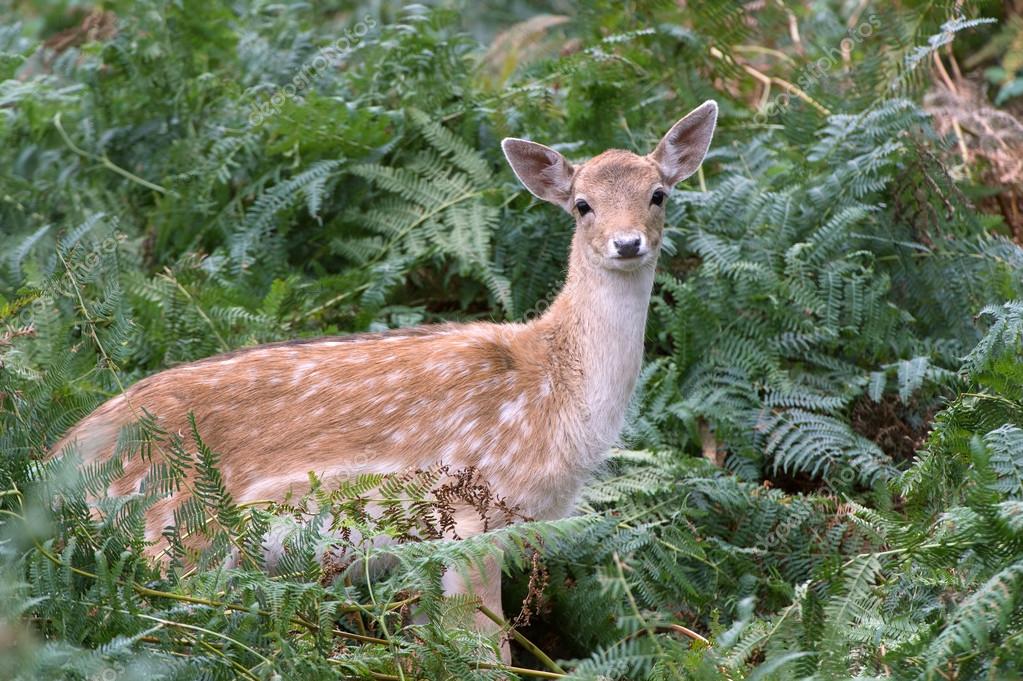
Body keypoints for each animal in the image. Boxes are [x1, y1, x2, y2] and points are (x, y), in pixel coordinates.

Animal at [53, 100, 718, 660]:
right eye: (582, 205)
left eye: (659, 193)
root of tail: (56, 462)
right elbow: (486, 653)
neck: (555, 399)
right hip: (174, 535)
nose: (627, 242)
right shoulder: (469, 516)